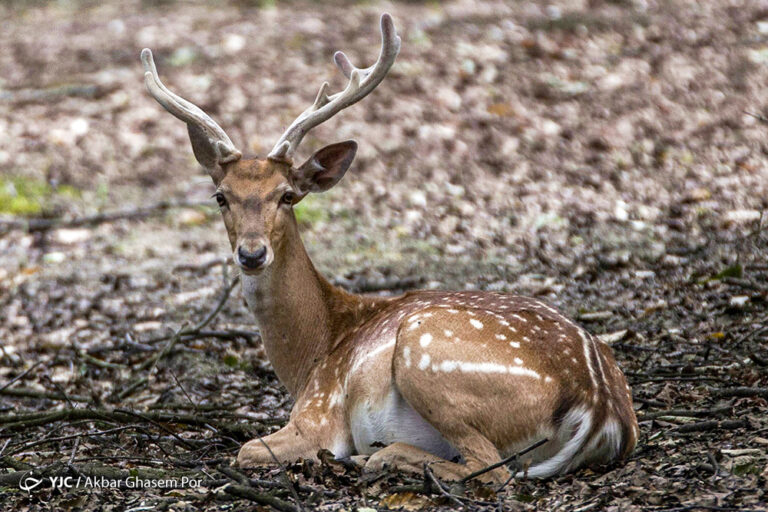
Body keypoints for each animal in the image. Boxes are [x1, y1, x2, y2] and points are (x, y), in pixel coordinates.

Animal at [140, 13, 638, 483]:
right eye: (220, 196)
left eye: (287, 195)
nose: (251, 254)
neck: (313, 354)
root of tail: (602, 409)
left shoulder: (318, 414)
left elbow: (246, 450)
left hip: (424, 355)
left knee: (491, 469)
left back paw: (379, 456)